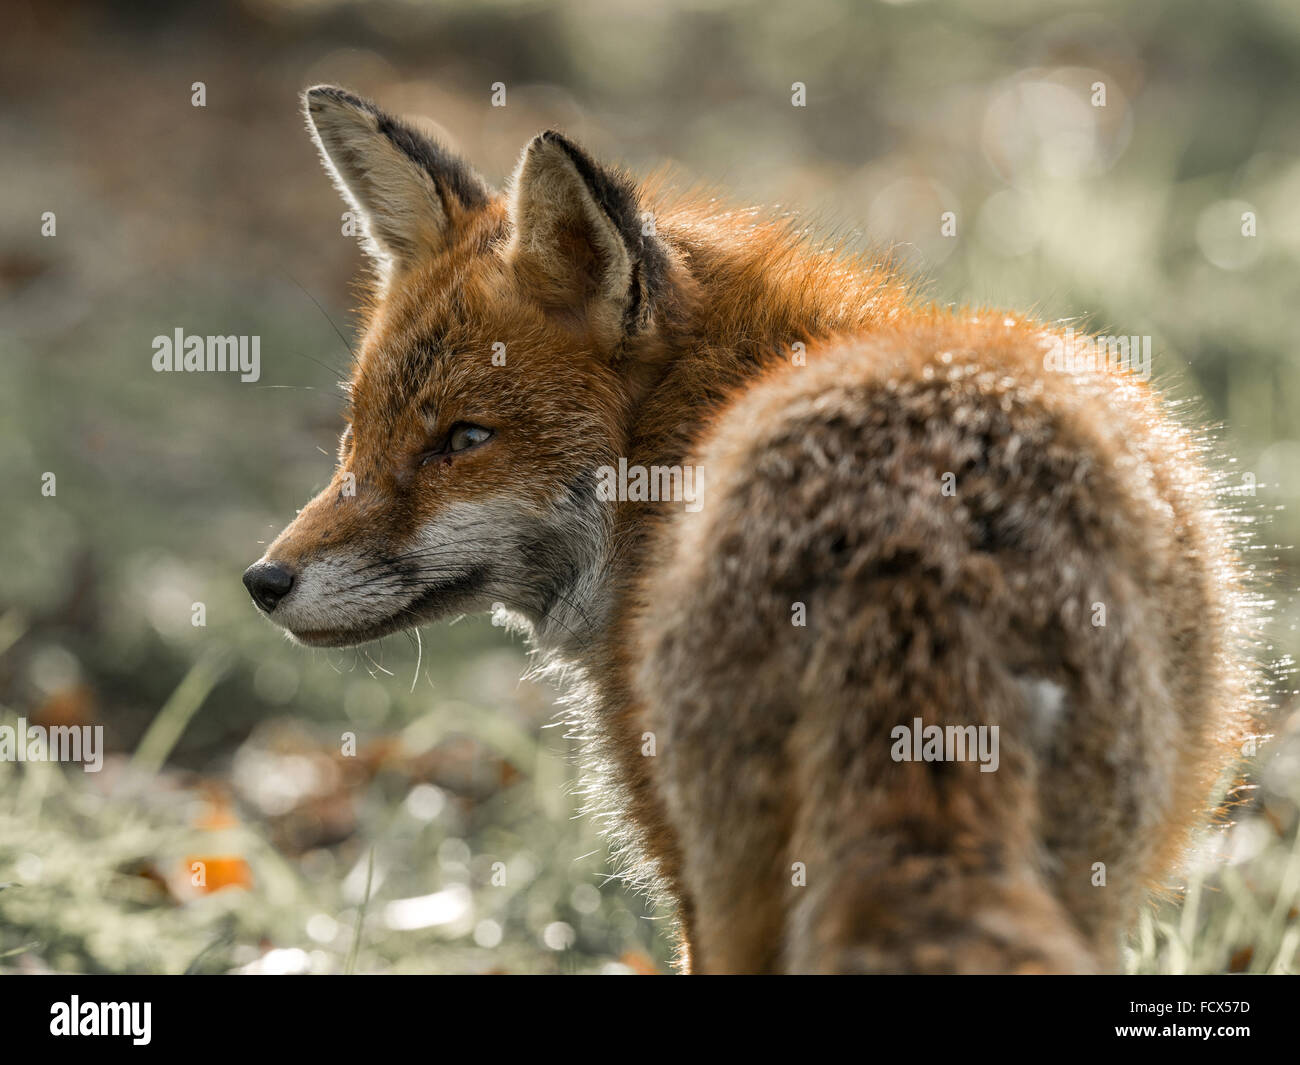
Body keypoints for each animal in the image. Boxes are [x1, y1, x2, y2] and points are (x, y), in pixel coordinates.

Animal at [243, 85, 1258, 974]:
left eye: (463, 440)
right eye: (356, 430)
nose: (263, 582)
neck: (680, 434)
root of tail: (915, 541)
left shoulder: (677, 853)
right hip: (1081, 875)